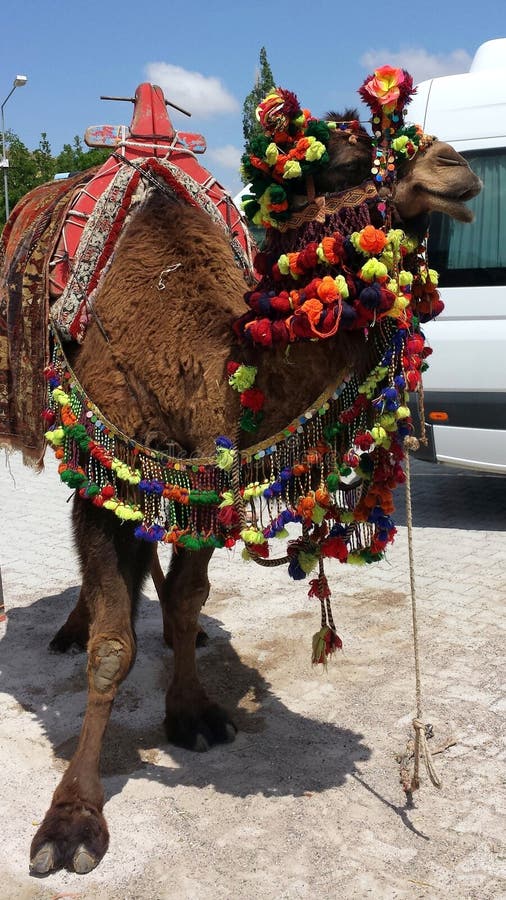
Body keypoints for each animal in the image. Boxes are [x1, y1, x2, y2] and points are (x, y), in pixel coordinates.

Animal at [0, 73, 480, 875]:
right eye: (342, 161)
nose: (457, 168)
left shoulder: (202, 474)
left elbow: (188, 597)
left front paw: (192, 711)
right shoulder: (113, 465)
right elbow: (111, 652)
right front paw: (70, 822)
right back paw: (73, 625)